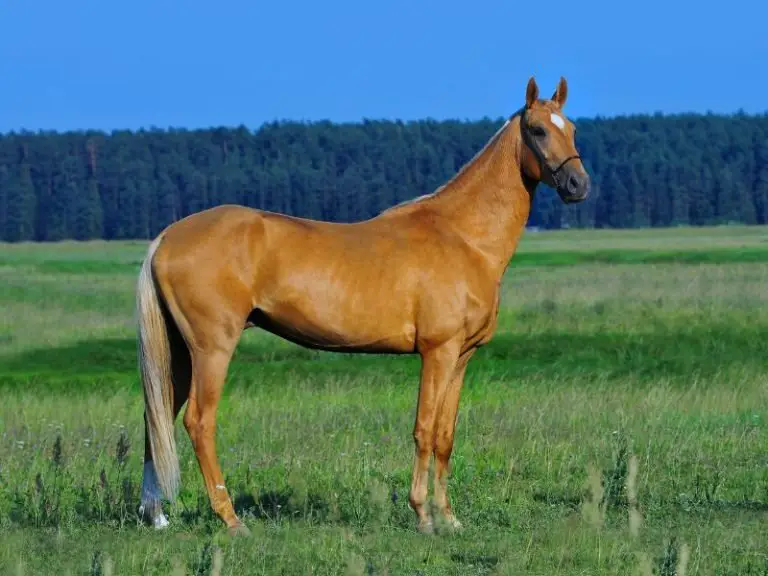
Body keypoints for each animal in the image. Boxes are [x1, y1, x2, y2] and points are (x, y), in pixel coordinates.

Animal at [136, 76, 590, 536]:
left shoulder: (461, 357)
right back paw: (231, 520)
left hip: (179, 352)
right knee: (198, 421)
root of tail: (167, 236)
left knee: (157, 418)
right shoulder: (437, 352)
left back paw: (156, 516)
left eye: (571, 128)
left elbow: (446, 436)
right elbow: (424, 430)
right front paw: (423, 515)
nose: (578, 185)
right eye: (537, 130)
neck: (463, 236)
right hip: (211, 350)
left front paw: (449, 518)